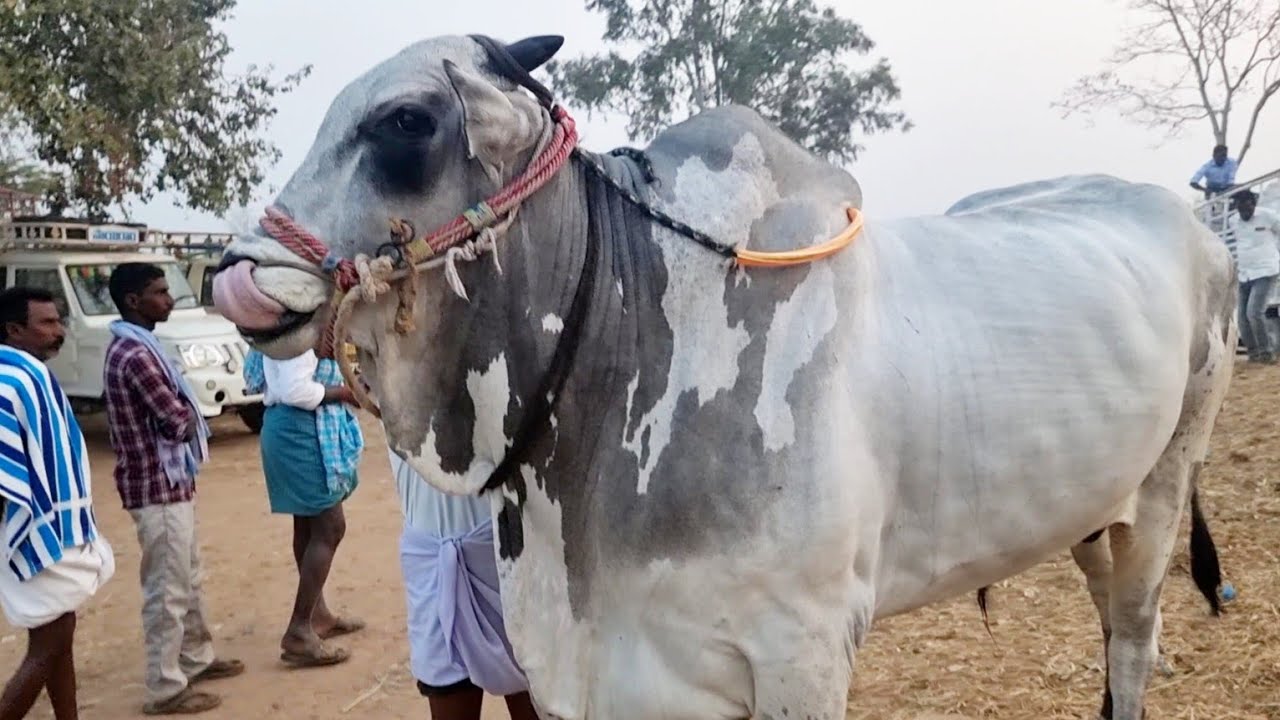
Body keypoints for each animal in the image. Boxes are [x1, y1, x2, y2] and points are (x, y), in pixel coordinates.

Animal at [210, 33, 1236, 720]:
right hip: (1091, 510)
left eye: (405, 120)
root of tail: (1199, 229)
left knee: (1134, 642)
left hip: (1164, 484)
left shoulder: (804, 650)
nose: (232, 275)